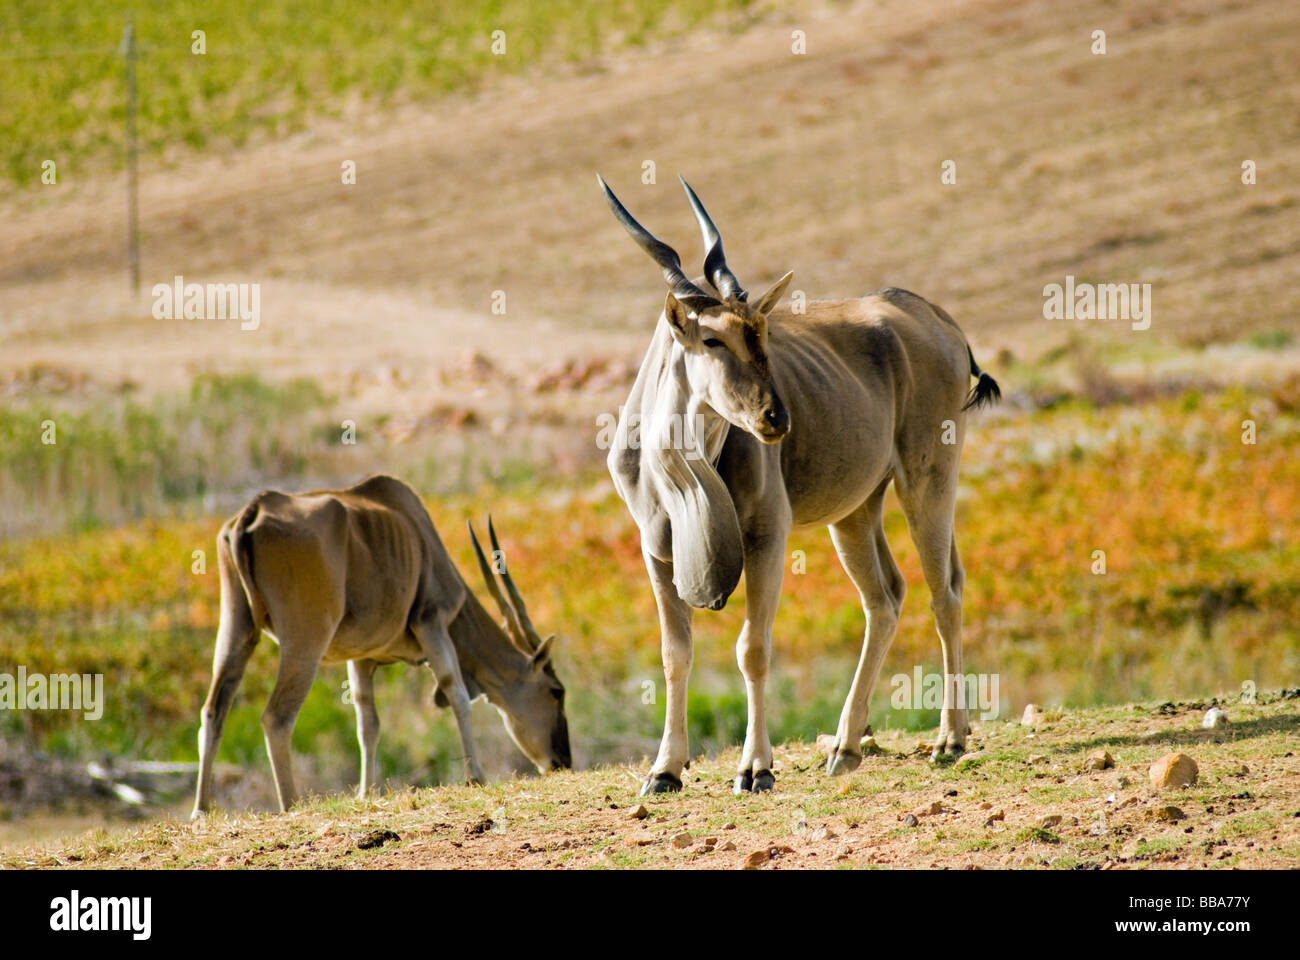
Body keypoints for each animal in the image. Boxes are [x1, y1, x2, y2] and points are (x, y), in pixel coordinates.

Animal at [191, 474, 571, 818]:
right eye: (556, 692)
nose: (561, 761)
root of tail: (254, 509)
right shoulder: (432, 620)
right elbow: (458, 694)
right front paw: (475, 776)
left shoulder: (362, 659)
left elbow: (367, 723)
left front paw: (366, 792)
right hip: (307, 638)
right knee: (277, 717)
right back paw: (291, 804)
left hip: (237, 628)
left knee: (213, 711)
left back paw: (201, 811)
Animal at [599, 175, 1000, 795]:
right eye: (713, 341)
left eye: (762, 332)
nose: (777, 418)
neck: (680, 466)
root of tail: (941, 322)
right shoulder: (655, 549)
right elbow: (675, 652)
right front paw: (665, 770)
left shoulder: (767, 536)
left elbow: (753, 648)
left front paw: (755, 767)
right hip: (855, 511)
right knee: (886, 597)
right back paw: (846, 746)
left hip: (928, 480)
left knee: (945, 591)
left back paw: (949, 740)